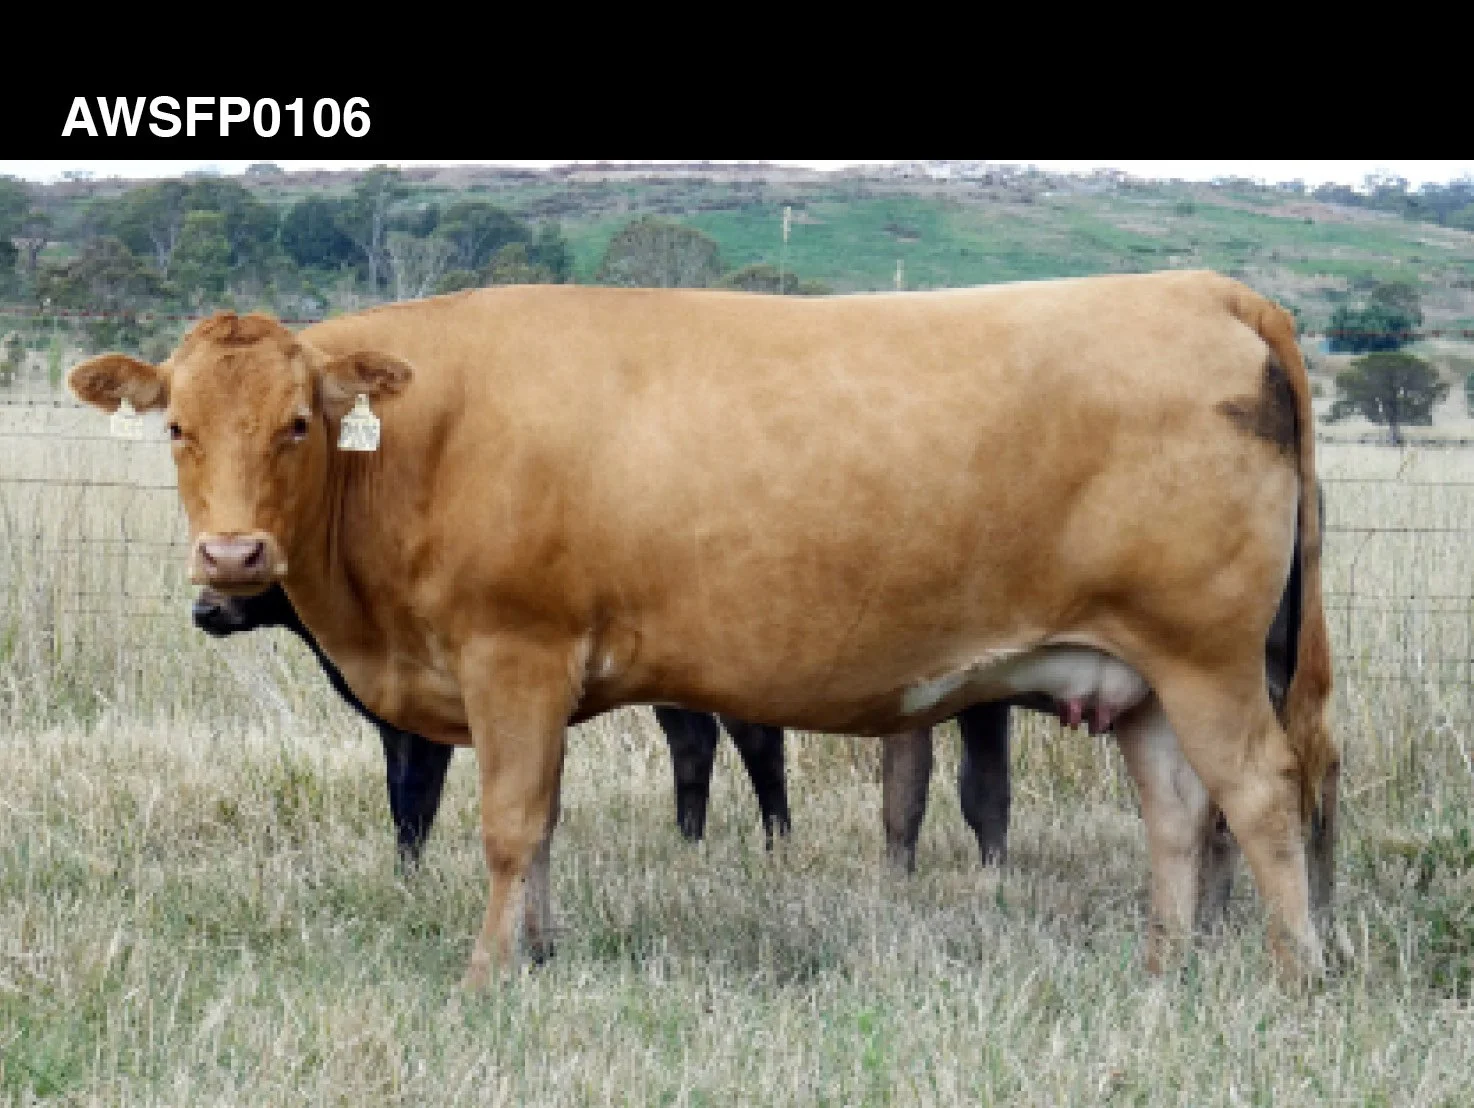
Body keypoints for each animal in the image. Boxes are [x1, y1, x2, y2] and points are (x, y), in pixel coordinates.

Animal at [69, 271, 1337, 984]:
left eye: (297, 423)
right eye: (177, 425)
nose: (233, 560)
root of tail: (1199, 286)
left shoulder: (513, 654)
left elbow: (509, 827)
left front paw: (485, 975)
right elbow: (544, 826)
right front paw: (539, 951)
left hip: (1207, 658)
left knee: (1264, 796)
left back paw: (1295, 978)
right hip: (1141, 676)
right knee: (1178, 814)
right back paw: (1163, 968)